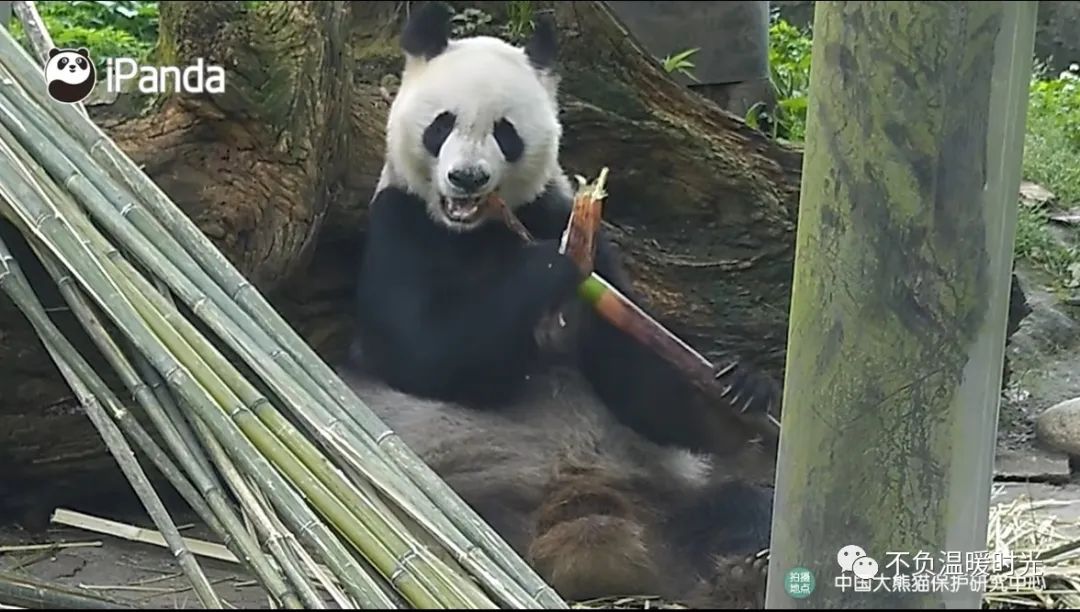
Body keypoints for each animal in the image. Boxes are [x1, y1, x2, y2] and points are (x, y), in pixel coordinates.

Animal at [342, 1, 779, 606]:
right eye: (442, 124)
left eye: (505, 132)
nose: (467, 178)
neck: (480, 229)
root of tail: (589, 518)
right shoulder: (398, 224)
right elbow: (420, 353)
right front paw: (546, 268)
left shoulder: (569, 225)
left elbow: (647, 391)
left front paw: (743, 385)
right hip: (459, 494)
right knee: (438, 532)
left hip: (671, 494)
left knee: (744, 507)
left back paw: (744, 568)